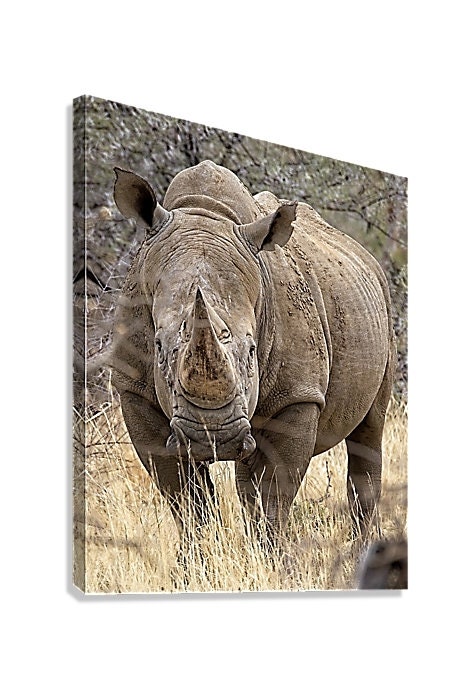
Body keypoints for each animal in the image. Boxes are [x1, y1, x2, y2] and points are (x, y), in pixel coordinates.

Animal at [111, 160, 396, 537]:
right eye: (158, 346)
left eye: (251, 350)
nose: (213, 437)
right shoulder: (134, 391)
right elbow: (184, 497)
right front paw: (198, 555)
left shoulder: (297, 396)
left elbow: (269, 496)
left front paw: (269, 553)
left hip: (383, 305)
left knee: (369, 431)